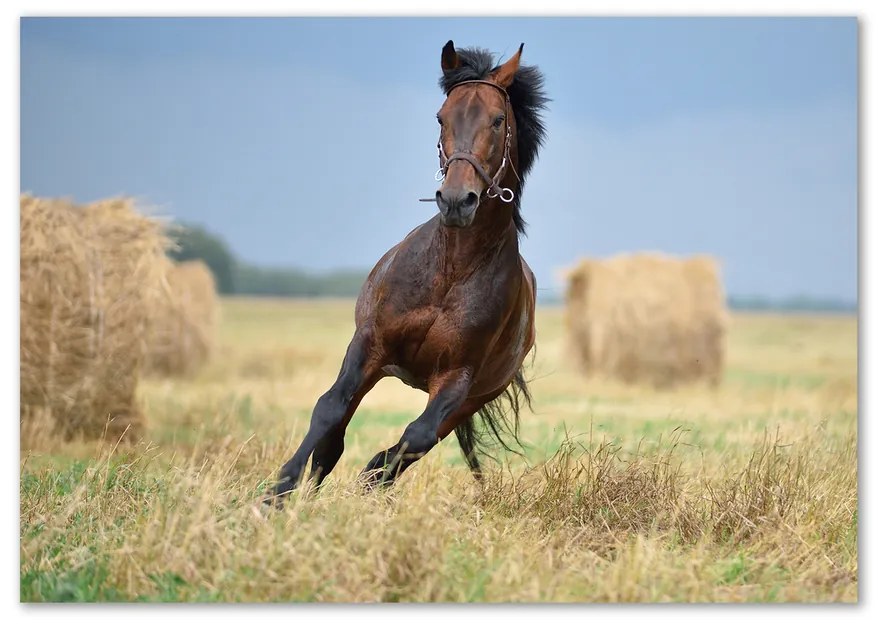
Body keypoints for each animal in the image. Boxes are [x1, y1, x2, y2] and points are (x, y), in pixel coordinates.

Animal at [264, 39, 548, 506]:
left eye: (498, 119)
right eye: (442, 116)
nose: (457, 201)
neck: (450, 270)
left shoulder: (457, 378)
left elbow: (414, 437)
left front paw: (363, 484)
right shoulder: (369, 345)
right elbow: (329, 411)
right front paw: (278, 493)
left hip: (473, 398)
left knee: (416, 442)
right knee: (336, 437)